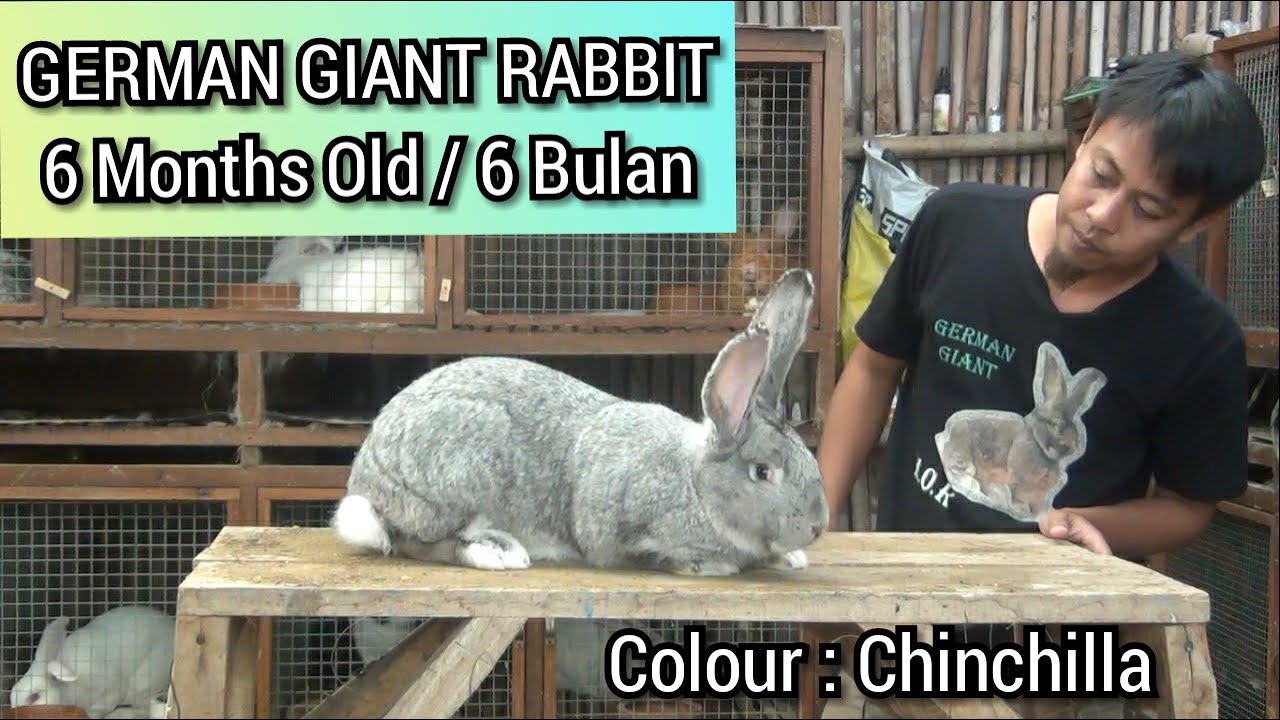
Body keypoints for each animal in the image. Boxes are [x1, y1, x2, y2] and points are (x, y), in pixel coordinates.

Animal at [331, 268, 828, 577]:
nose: (818, 527)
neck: (694, 482)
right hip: (458, 477)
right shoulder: (622, 529)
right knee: (411, 541)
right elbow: (649, 553)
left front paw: (792, 559)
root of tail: (367, 480)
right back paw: (496, 552)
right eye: (763, 472)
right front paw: (710, 565)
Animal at [934, 341, 1108, 523]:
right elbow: (1014, 492)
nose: (1074, 448)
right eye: (1057, 426)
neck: (1038, 444)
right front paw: (1019, 507)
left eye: (1076, 435)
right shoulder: (1016, 478)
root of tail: (944, 435)